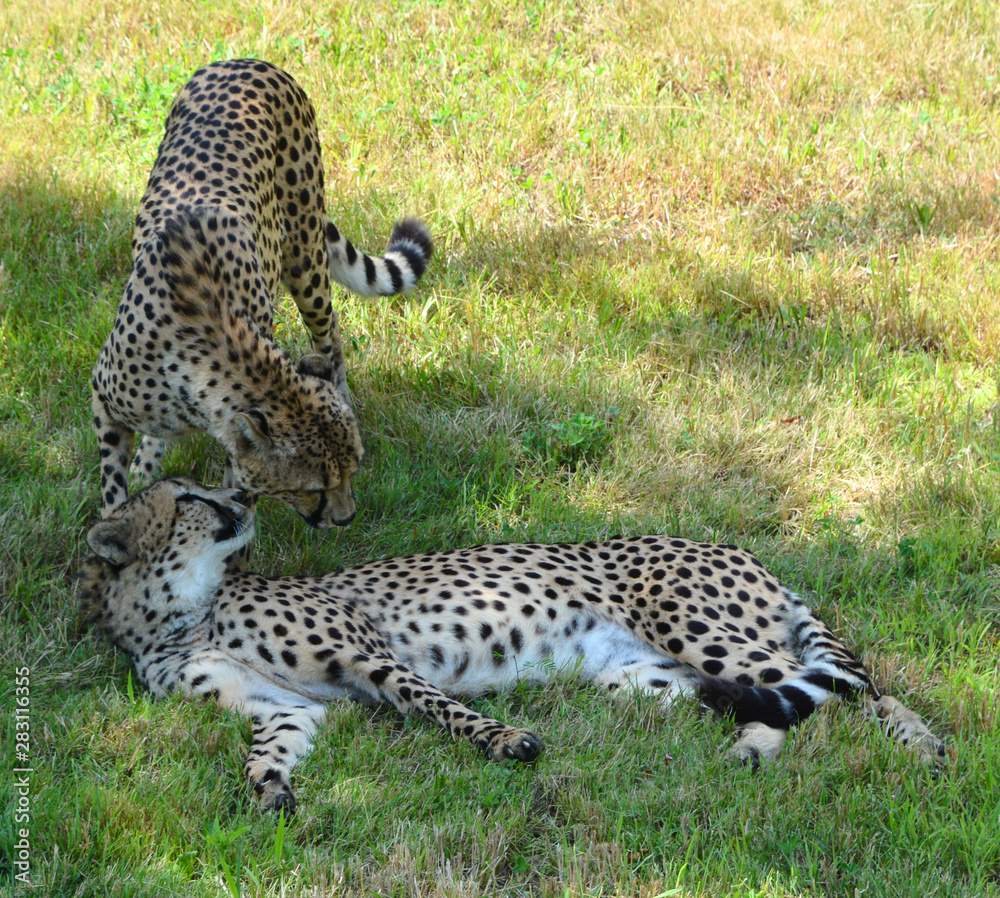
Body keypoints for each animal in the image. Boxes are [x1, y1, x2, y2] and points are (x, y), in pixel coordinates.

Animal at [81, 478, 946, 814]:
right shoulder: (282, 707)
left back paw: (928, 749)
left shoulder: (369, 655)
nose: (242, 494)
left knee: (858, 688)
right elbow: (273, 746)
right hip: (646, 680)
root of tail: (738, 550)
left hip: (697, 628)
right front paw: (268, 789)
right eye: (188, 498)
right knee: (787, 702)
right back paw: (751, 753)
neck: (180, 615)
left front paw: (507, 743)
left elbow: (440, 705)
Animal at [91, 58, 433, 527]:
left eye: (355, 467)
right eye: (312, 488)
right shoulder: (104, 397)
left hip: (305, 259)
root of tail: (246, 61)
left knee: (330, 333)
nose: (346, 518)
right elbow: (112, 486)